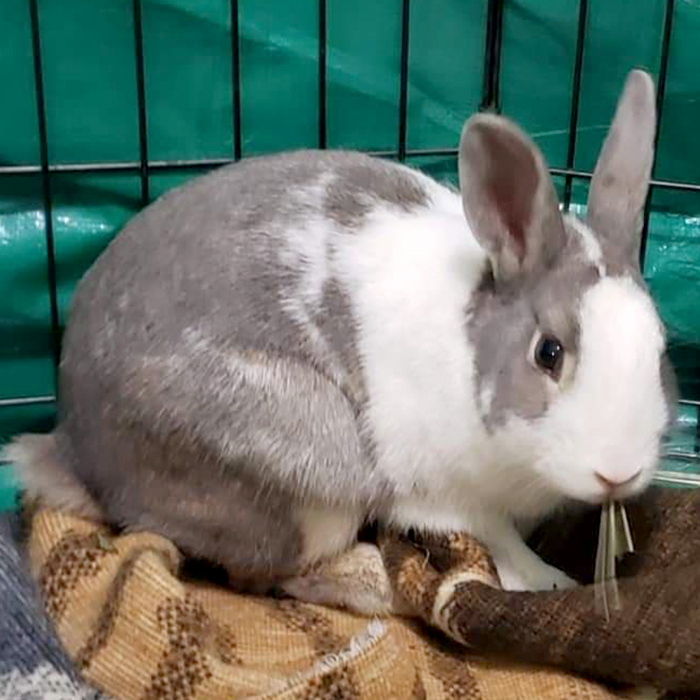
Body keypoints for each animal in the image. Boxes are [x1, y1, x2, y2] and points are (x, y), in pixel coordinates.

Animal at [5, 69, 676, 614]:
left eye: (662, 346)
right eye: (548, 353)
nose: (618, 473)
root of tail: (76, 450)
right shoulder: (447, 493)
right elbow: (497, 539)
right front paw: (550, 581)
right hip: (313, 471)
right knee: (261, 575)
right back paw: (370, 584)